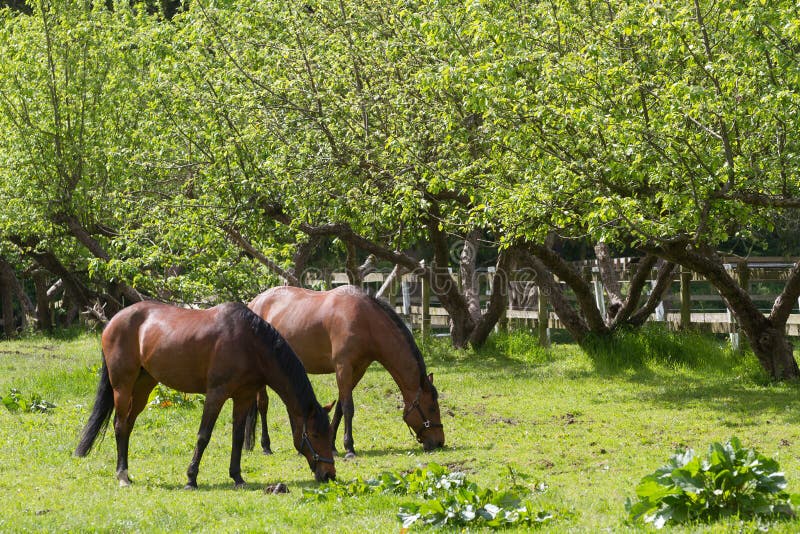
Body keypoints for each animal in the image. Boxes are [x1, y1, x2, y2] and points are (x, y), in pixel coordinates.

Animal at [74, 301, 336, 489]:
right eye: (314, 434)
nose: (329, 475)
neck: (250, 344)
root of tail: (113, 321)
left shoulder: (244, 397)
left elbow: (237, 436)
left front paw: (237, 477)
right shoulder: (216, 394)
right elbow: (203, 436)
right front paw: (191, 478)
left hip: (144, 386)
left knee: (127, 425)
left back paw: (127, 473)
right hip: (122, 386)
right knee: (119, 426)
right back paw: (122, 476)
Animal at [246, 285, 444, 458]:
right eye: (432, 407)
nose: (440, 442)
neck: (365, 321)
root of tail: (254, 303)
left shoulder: (358, 370)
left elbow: (340, 406)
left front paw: (332, 445)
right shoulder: (343, 367)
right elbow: (349, 407)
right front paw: (349, 448)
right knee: (262, 405)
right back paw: (266, 446)